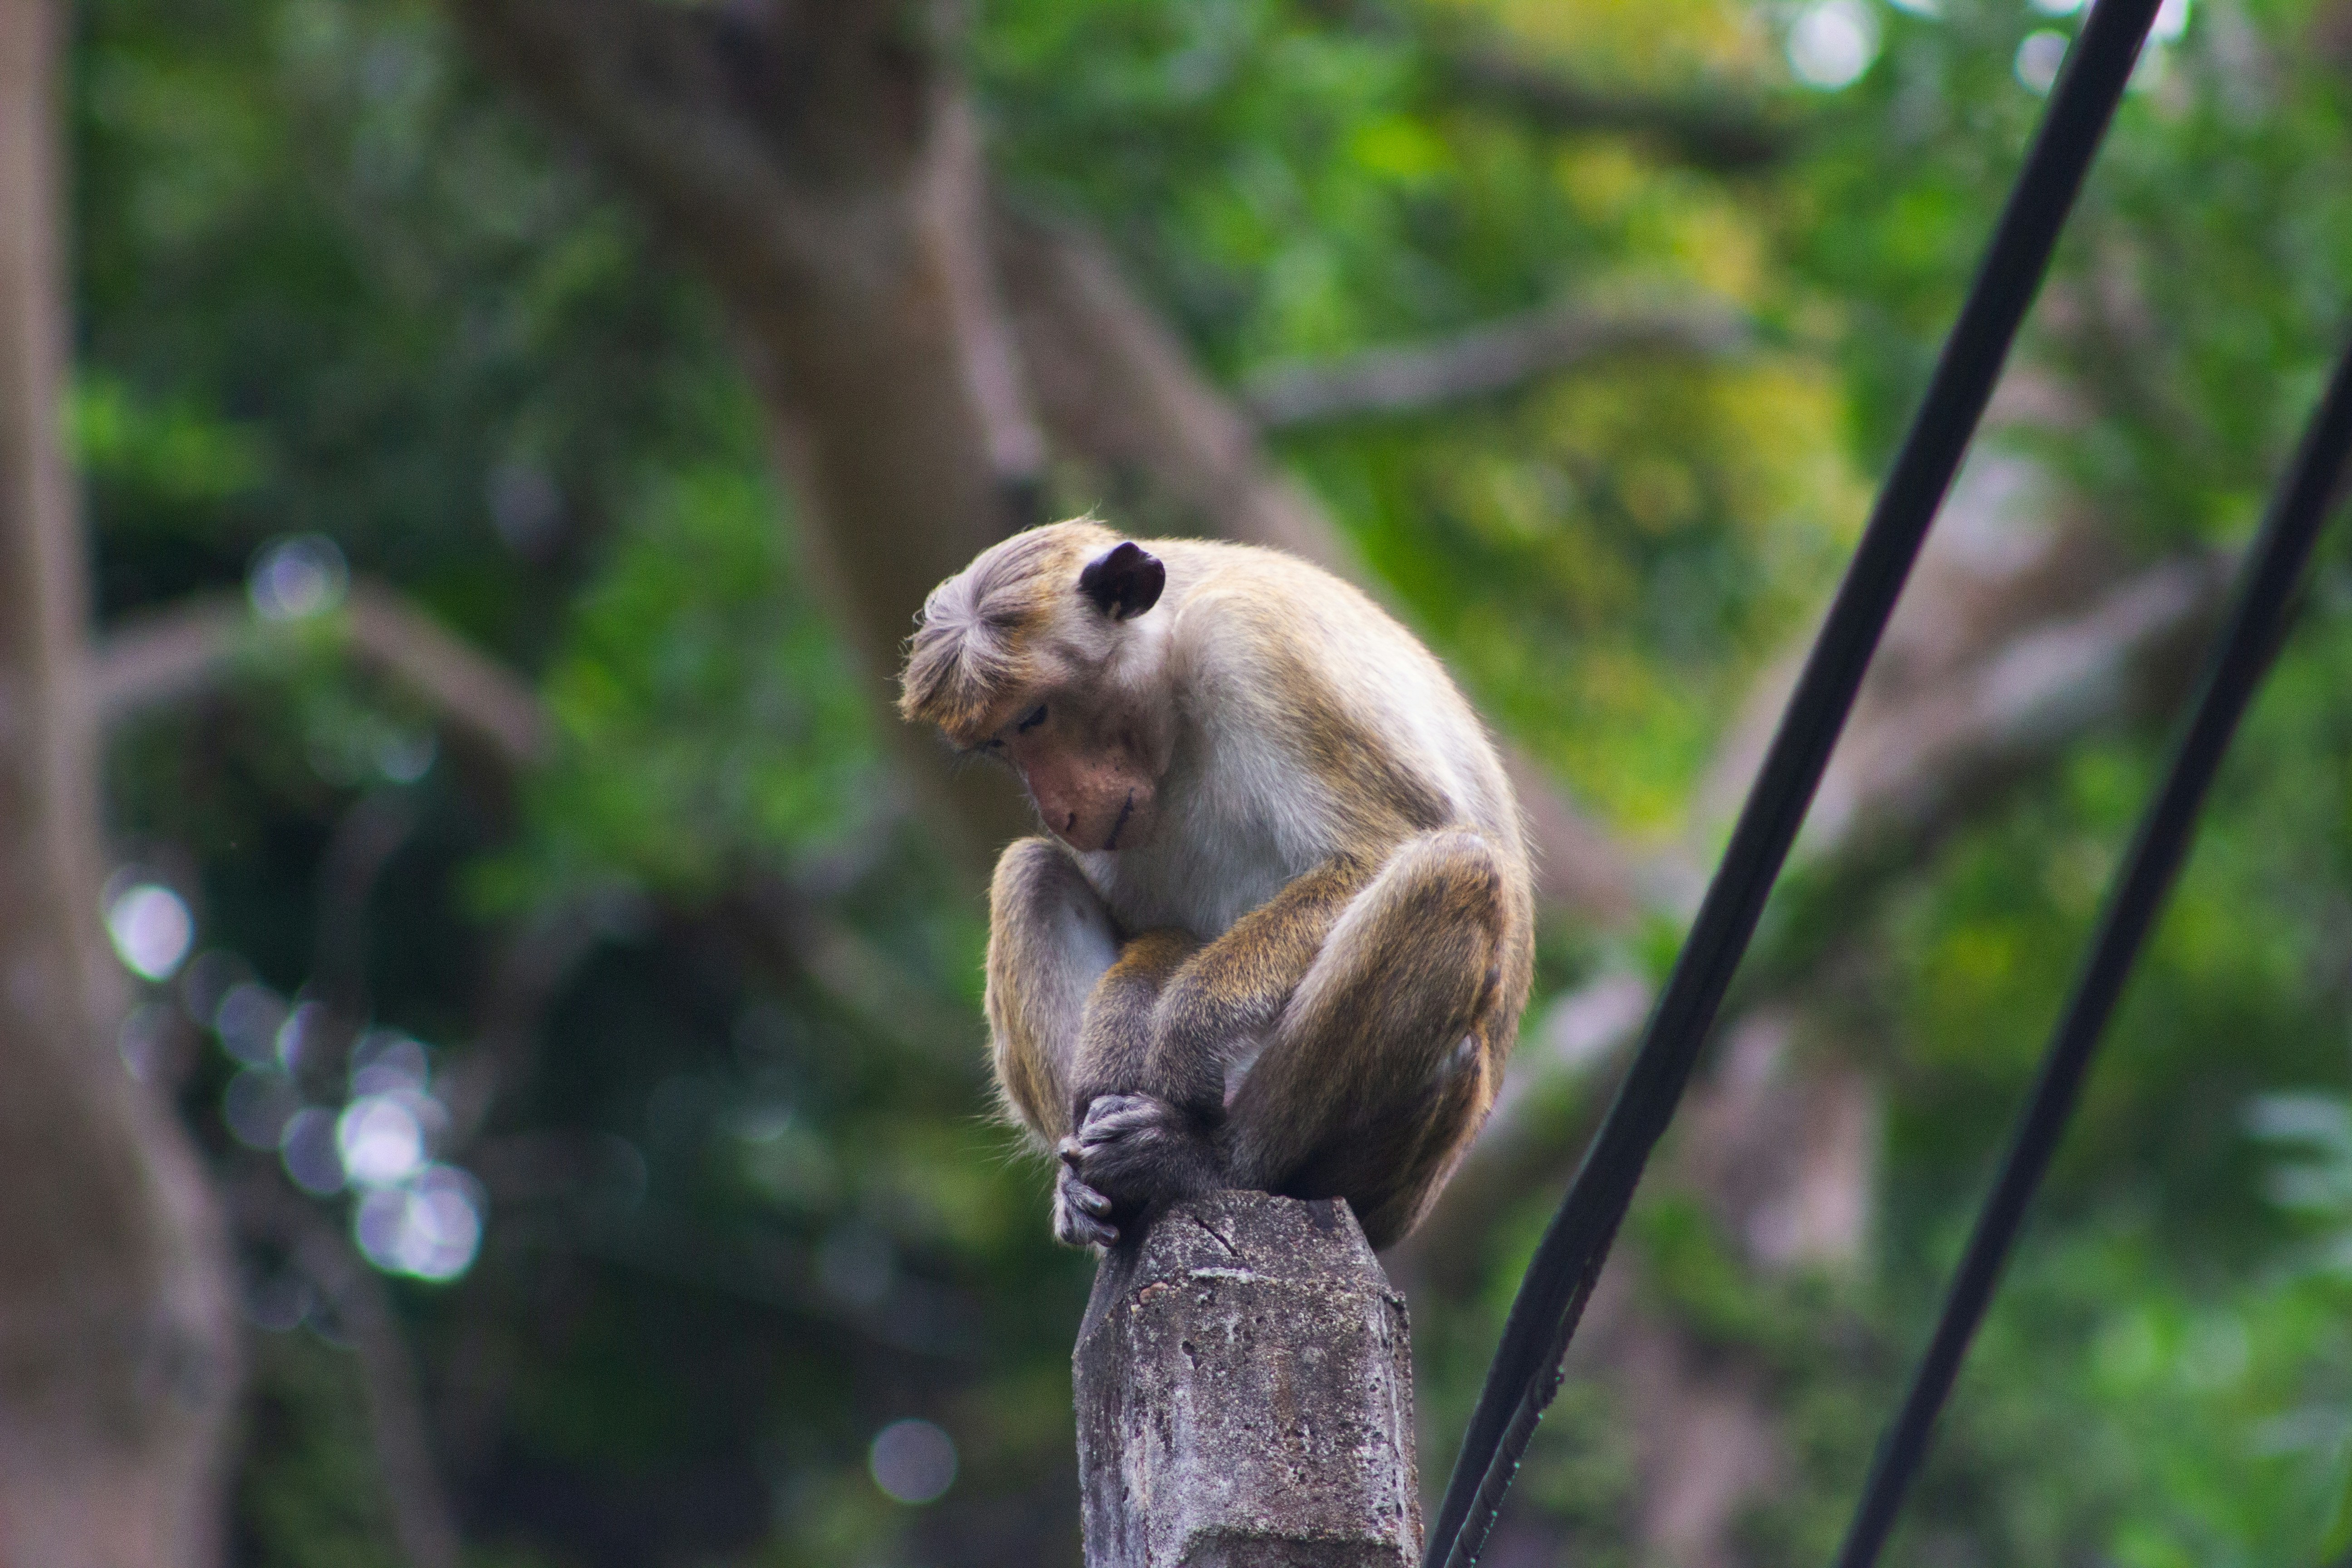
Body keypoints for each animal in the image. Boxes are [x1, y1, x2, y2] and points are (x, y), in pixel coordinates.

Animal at [898, 519, 1535, 1251]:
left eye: (1033, 718)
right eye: (998, 744)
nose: (1058, 812)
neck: (1173, 661)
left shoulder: (1249, 644)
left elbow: (1376, 852)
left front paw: (1185, 1032)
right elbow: (1155, 929)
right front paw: (1124, 1026)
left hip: (1399, 1166)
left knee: (1453, 870)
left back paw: (1214, 1161)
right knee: (1031, 873)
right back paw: (1092, 1181)